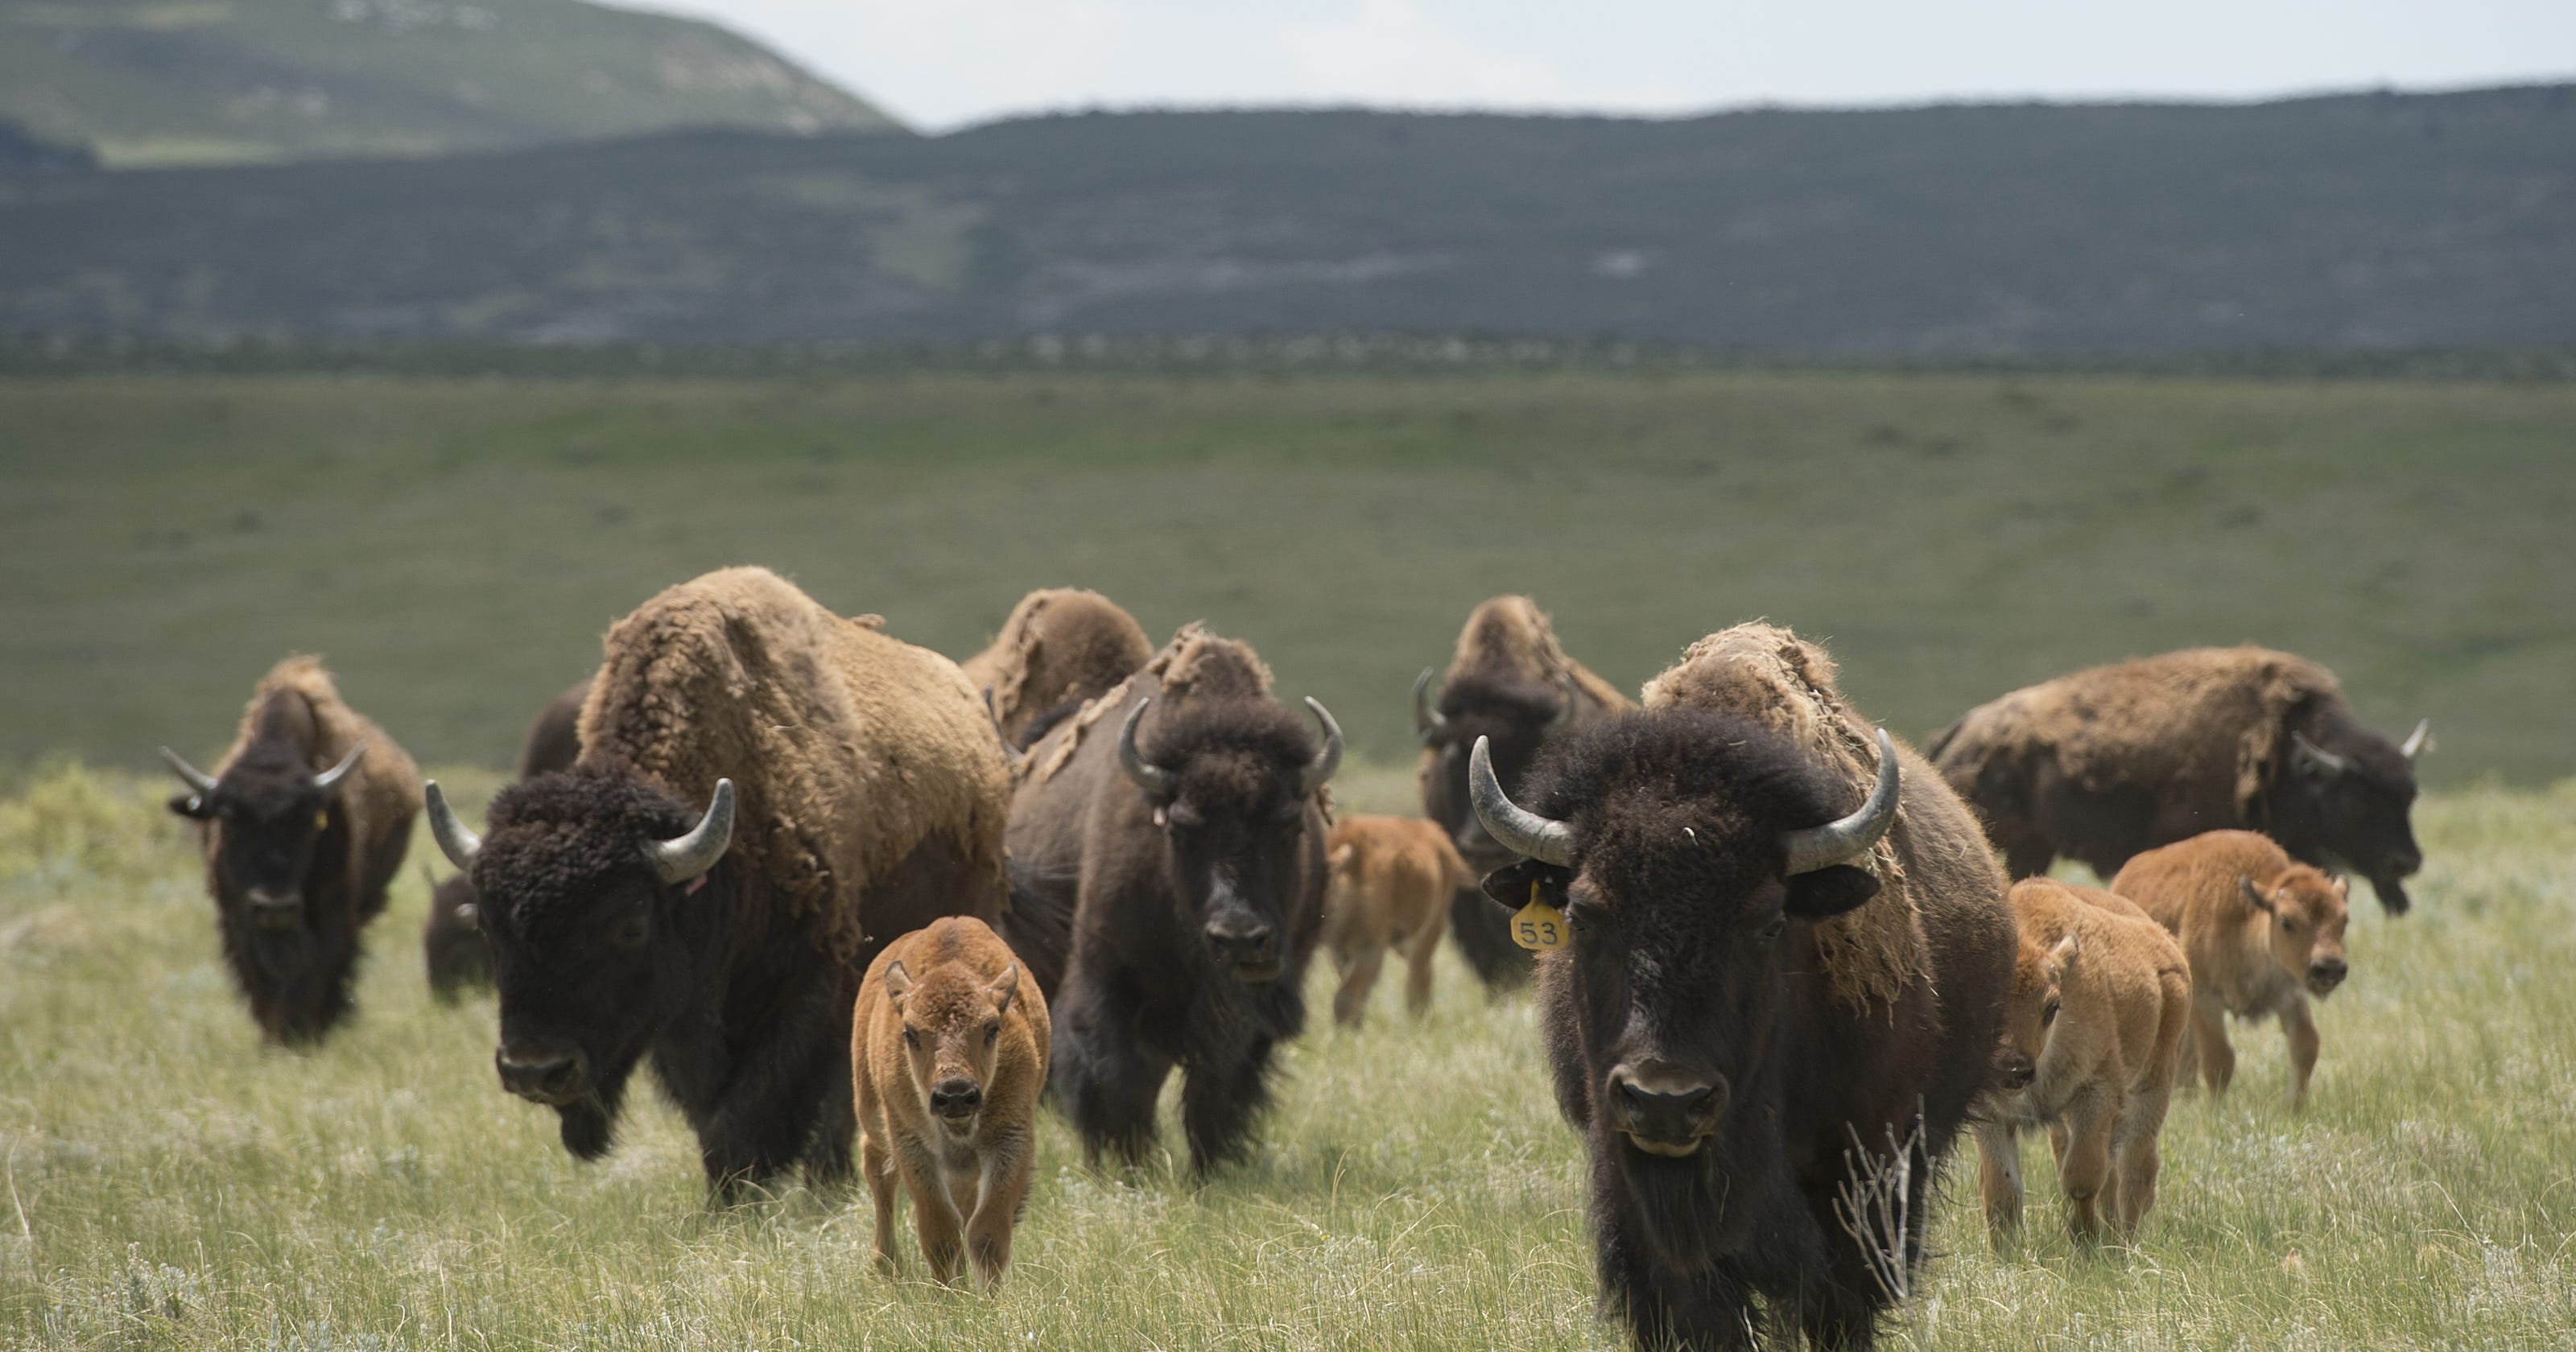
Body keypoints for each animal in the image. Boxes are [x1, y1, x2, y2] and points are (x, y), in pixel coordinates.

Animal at [162, 657, 422, 1046]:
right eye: (229, 822)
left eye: (310, 824)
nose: (275, 907)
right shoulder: (237, 915)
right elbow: (259, 975)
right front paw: (275, 1036)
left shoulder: (330, 911)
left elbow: (317, 968)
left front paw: (302, 1034)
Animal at [424, 567, 1012, 1197]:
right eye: (489, 927)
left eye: (631, 924)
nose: (535, 1069)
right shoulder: (683, 1022)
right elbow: (713, 1114)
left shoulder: (812, 991)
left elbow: (757, 1107)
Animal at [1005, 624, 1339, 1173]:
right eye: (1181, 828)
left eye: (1291, 826)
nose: (1239, 936)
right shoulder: (1106, 975)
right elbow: (1113, 1072)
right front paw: (1127, 1163)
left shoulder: (1244, 1007)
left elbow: (1215, 1081)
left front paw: (1209, 1169)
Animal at [1472, 624, 2013, 1349]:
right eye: (1583, 914)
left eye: (1768, 922)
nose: (1665, 1101)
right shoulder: (1631, 1186)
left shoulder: (1861, 1168)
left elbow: (1837, 1304)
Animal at [1929, 645, 2429, 912]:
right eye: (2358, 800)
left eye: (2410, 795)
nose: (2406, 862)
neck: (2284, 754)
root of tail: (1962, 730)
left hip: (2035, 846)